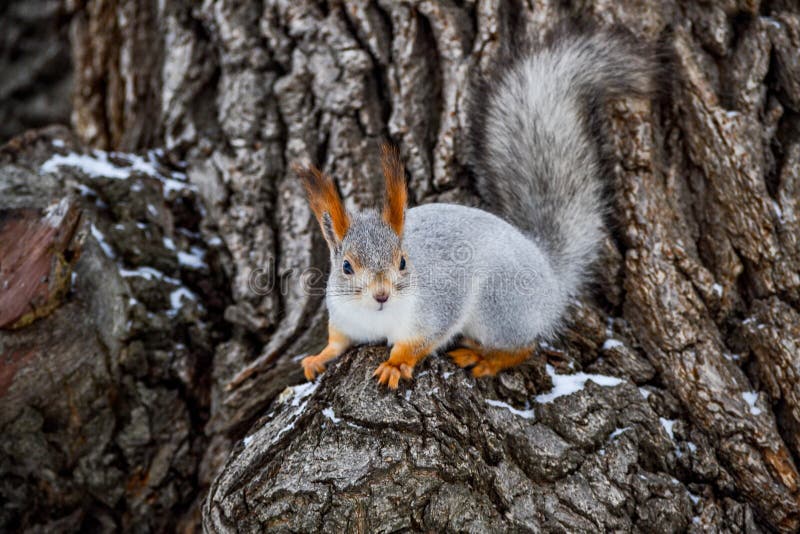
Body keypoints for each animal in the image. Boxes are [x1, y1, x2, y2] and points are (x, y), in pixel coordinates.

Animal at [292, 29, 654, 389]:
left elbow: (419, 342)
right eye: (346, 267)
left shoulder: (436, 308)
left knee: (523, 346)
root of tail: (549, 273)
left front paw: (396, 364)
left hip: (500, 306)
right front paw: (317, 357)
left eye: (403, 261)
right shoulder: (343, 317)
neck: (376, 316)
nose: (381, 295)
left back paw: (484, 358)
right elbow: (337, 342)